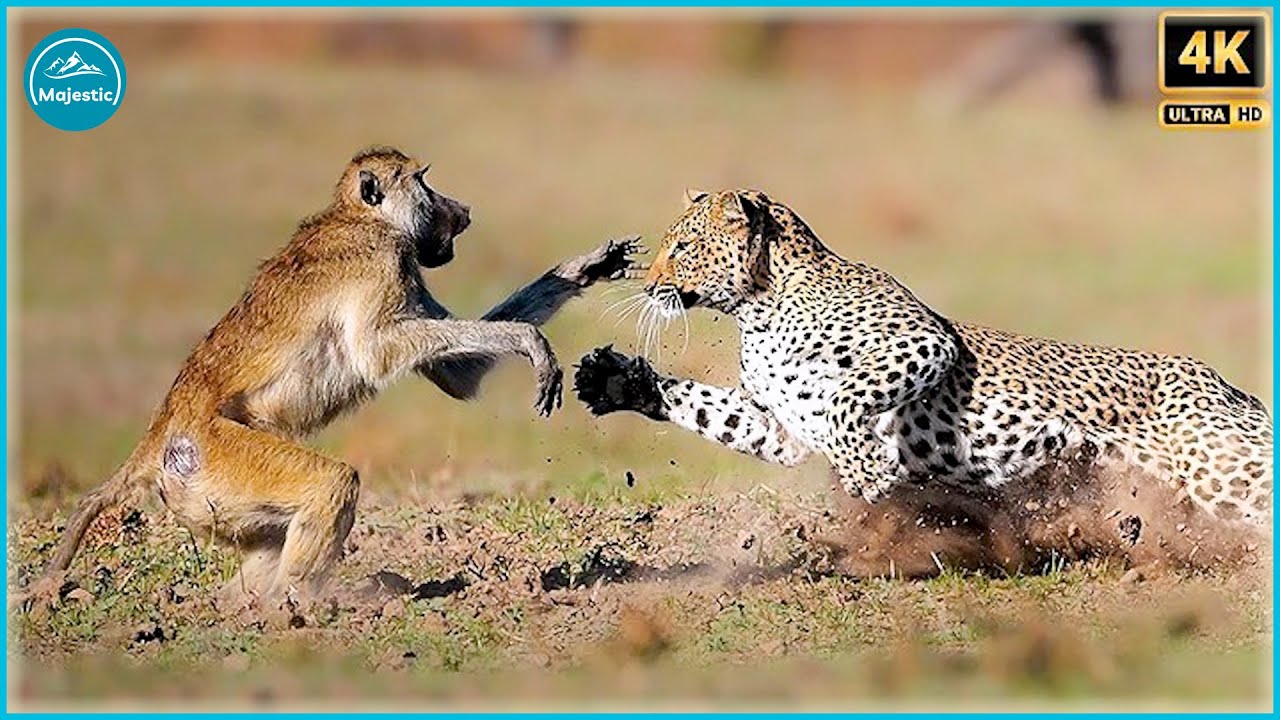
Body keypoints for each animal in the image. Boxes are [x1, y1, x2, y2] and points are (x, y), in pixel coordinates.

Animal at [574, 189, 1272, 569]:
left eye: (683, 248)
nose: (648, 283)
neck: (756, 309)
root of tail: (1230, 385)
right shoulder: (779, 425)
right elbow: (711, 409)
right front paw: (616, 381)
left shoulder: (924, 344)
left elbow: (850, 397)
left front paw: (868, 471)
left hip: (1218, 466)